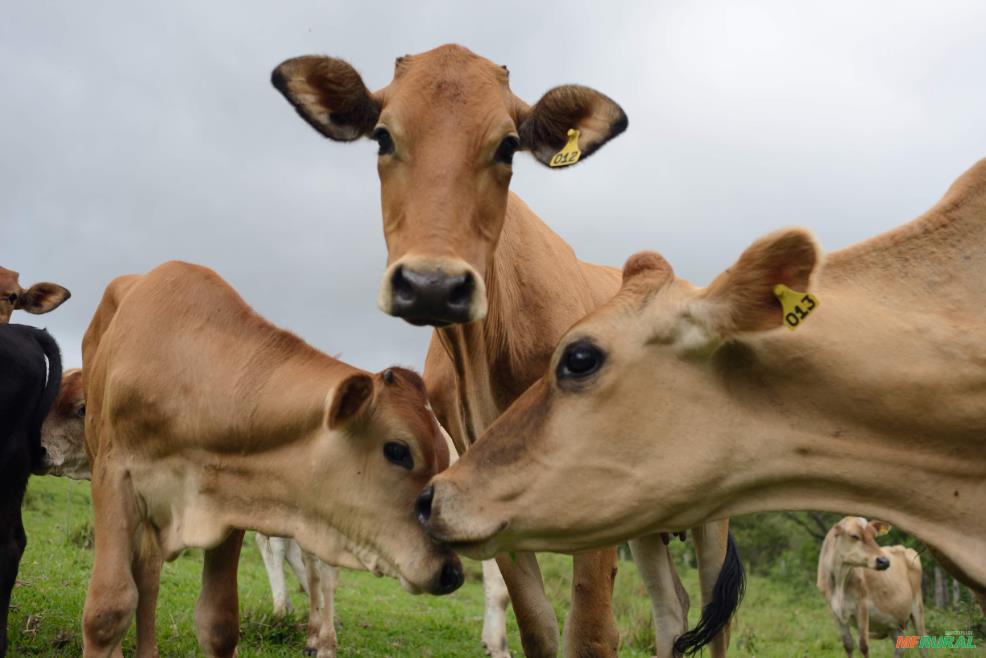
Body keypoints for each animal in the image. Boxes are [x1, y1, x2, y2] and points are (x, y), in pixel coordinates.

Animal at [79, 261, 462, 658]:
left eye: (445, 457)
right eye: (398, 451)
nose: (452, 571)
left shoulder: (229, 501)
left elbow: (218, 623)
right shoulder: (114, 478)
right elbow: (107, 612)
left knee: (148, 577)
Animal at [272, 42, 740, 658]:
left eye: (508, 145)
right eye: (383, 137)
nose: (432, 284)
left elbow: (590, 632)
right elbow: (537, 625)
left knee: (715, 618)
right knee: (672, 609)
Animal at [817, 517, 927, 658]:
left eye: (874, 536)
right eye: (855, 536)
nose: (884, 561)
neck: (839, 582)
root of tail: (903, 548)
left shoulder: (862, 606)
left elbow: (863, 646)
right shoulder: (835, 611)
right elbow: (848, 645)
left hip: (917, 606)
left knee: (923, 645)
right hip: (892, 622)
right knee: (900, 647)